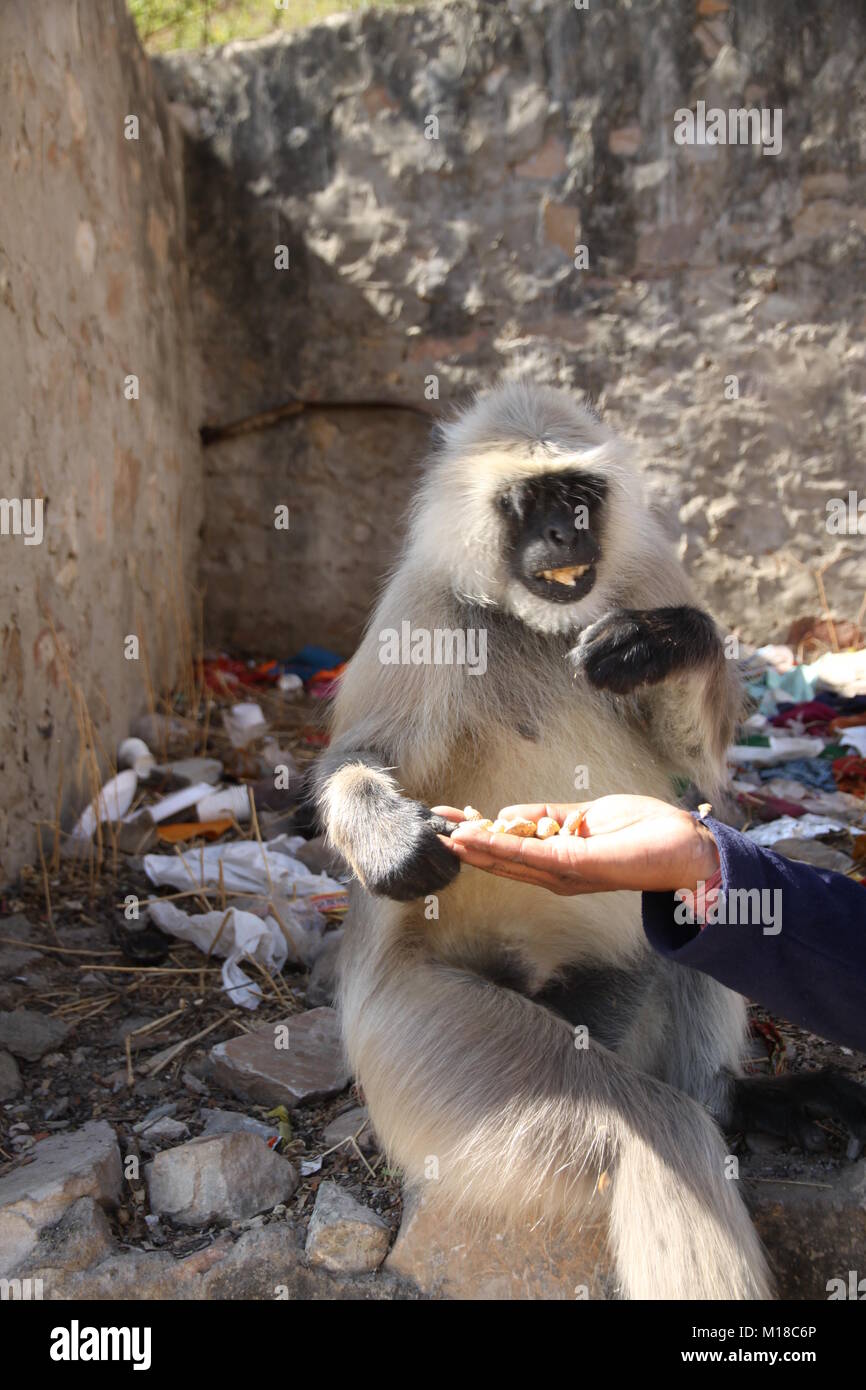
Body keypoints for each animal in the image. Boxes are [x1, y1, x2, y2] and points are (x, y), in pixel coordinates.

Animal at [312, 382, 864, 1300]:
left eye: (581, 496)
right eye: (530, 501)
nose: (566, 533)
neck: (528, 623)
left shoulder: (644, 578)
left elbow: (694, 768)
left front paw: (671, 642)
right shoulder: (424, 616)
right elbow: (358, 758)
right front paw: (388, 840)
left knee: (702, 908)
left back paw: (736, 1104)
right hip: (420, 1040)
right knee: (653, 1132)